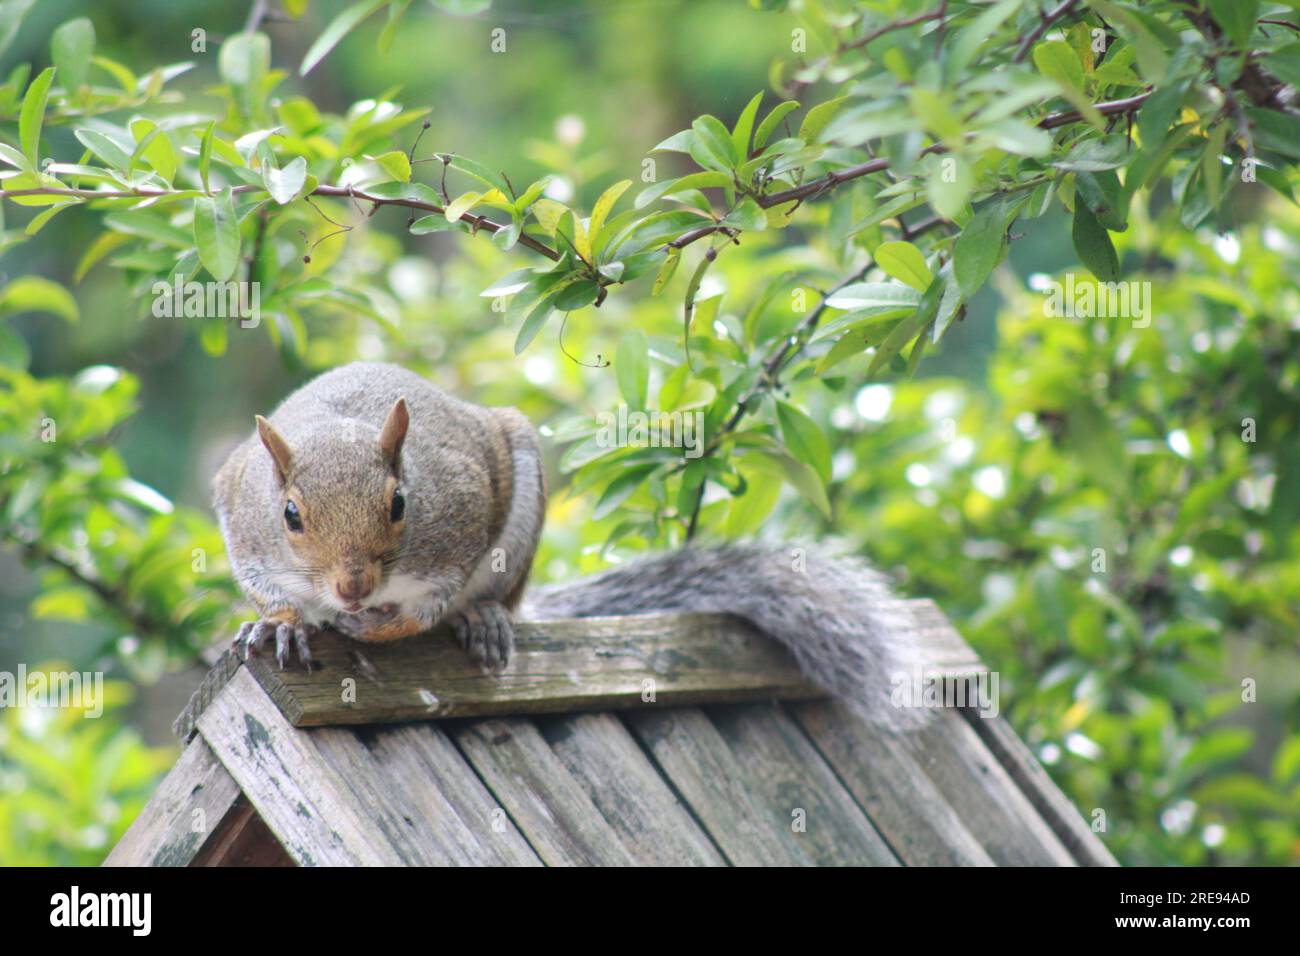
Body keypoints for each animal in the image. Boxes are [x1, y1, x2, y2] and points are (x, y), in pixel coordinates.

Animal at [212, 361, 925, 728]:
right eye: (290, 515)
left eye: (399, 505)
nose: (353, 588)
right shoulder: (240, 517)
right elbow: (266, 586)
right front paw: (281, 624)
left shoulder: (459, 522)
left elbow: (431, 601)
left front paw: (387, 626)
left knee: (495, 595)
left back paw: (485, 619)